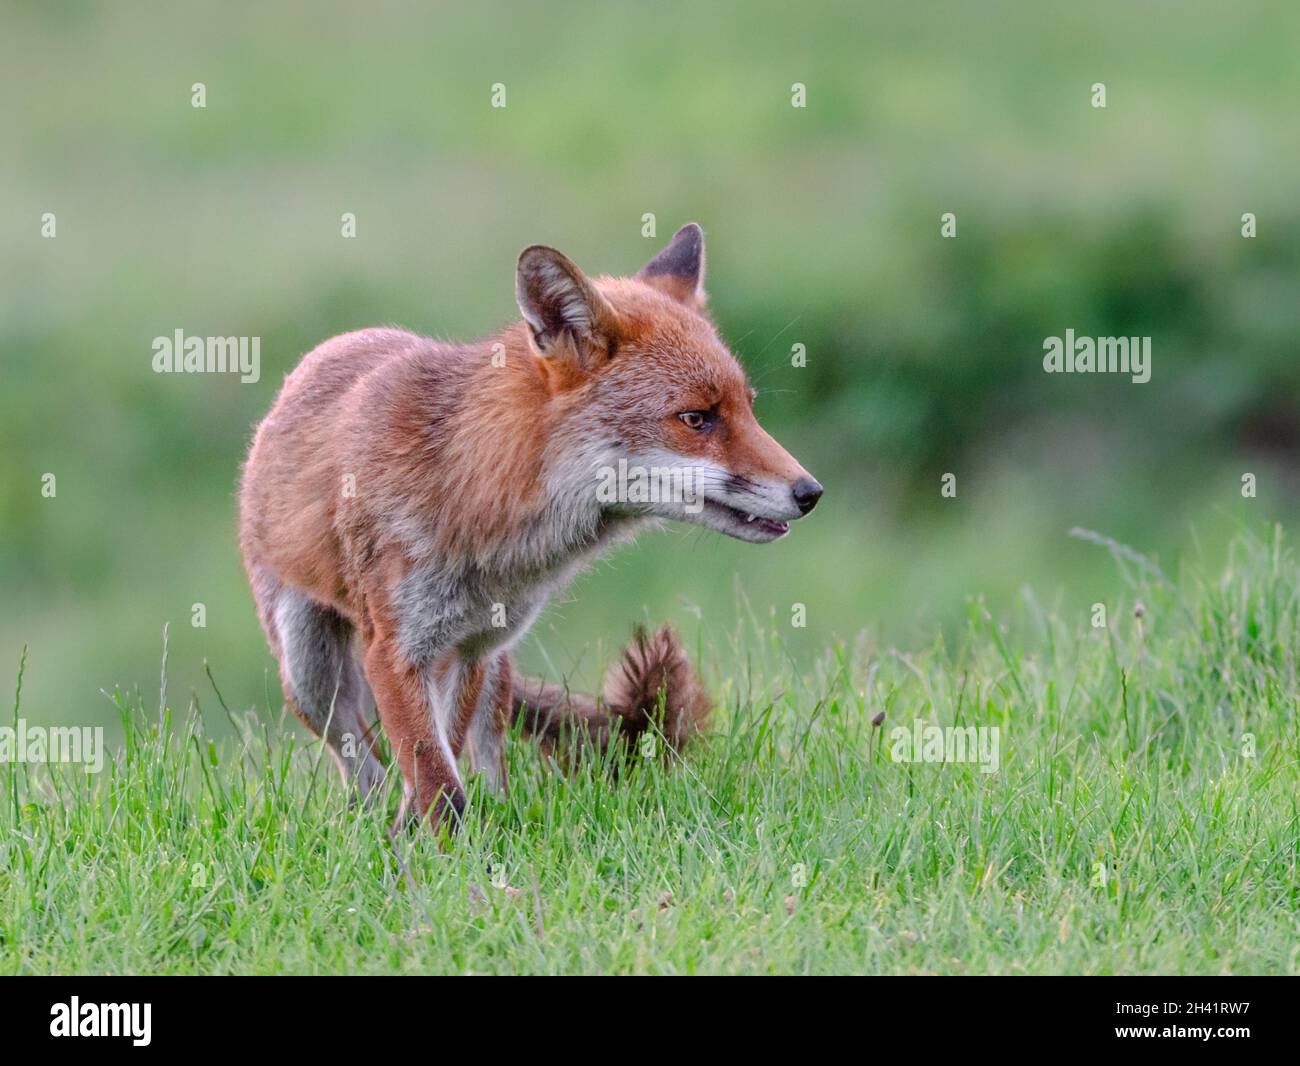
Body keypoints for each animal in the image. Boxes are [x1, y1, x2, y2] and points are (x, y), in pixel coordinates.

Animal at [238, 223, 822, 833]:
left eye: (748, 408)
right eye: (696, 418)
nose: (810, 492)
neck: (474, 493)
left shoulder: (472, 646)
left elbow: (446, 768)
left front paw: (437, 841)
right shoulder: (395, 651)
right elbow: (437, 784)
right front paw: (427, 849)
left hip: (491, 667)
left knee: (486, 750)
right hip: (309, 672)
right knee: (362, 763)